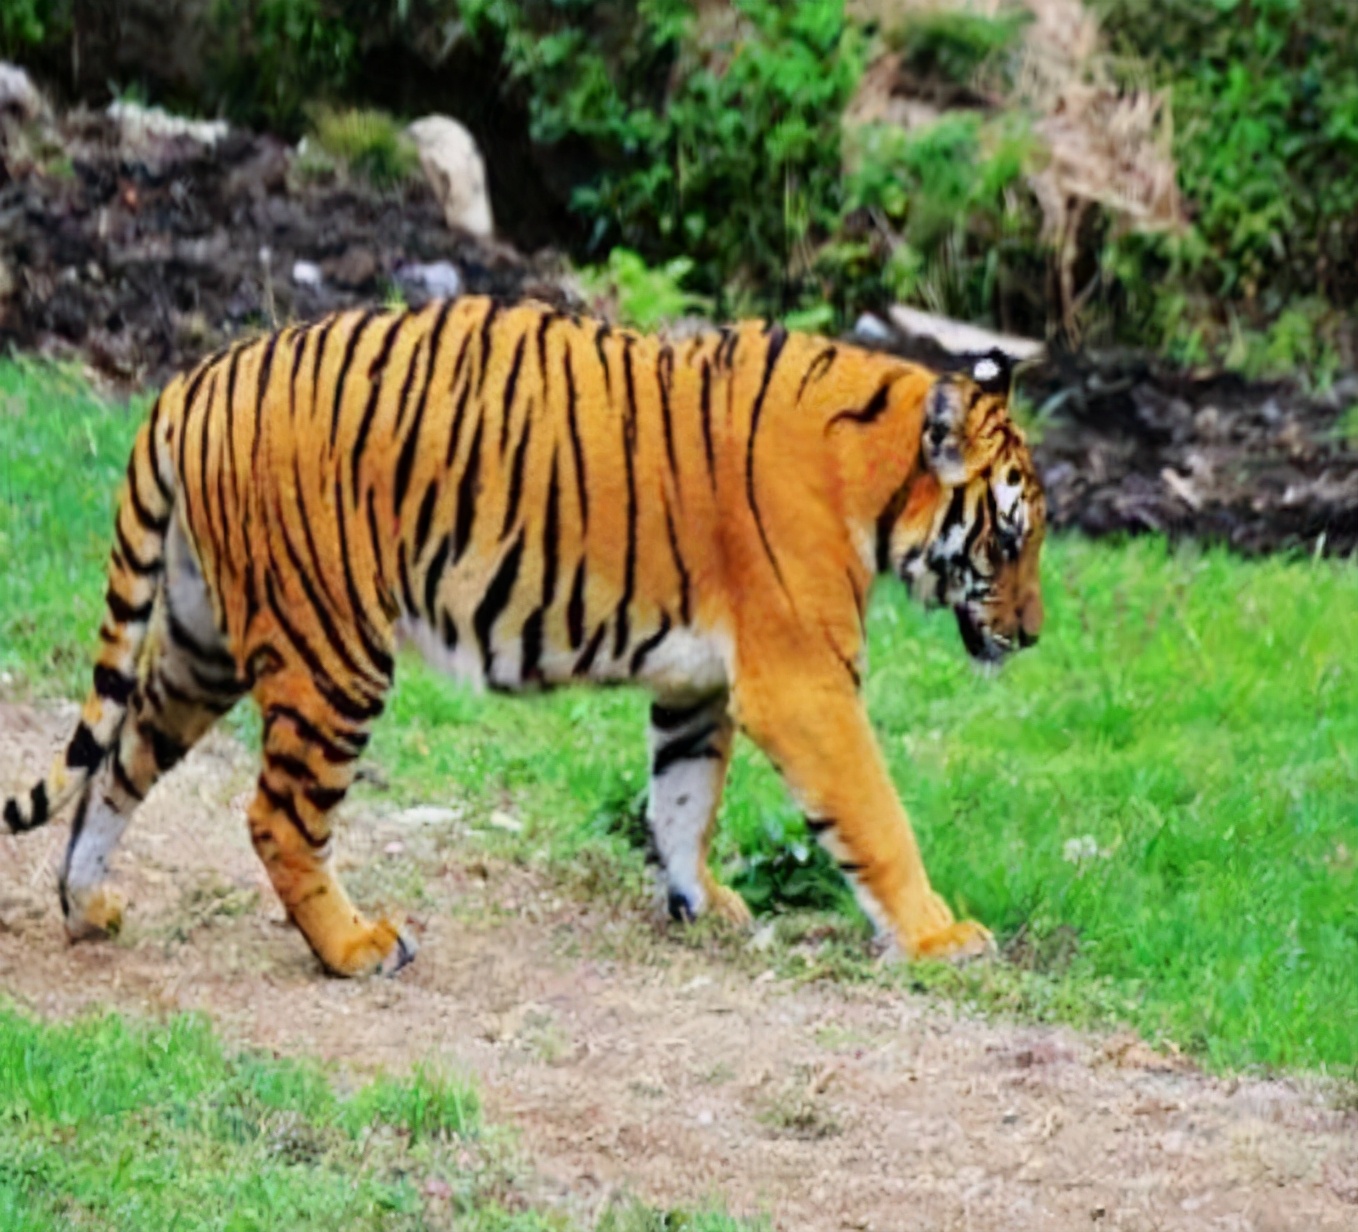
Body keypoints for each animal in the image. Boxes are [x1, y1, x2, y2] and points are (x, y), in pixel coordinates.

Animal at [3, 296, 1045, 977]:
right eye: (1010, 538)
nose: (1034, 635)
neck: (874, 477)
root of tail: (193, 379)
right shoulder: (804, 682)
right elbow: (874, 815)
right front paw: (939, 937)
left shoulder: (698, 683)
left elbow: (683, 799)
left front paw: (698, 903)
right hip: (332, 653)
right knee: (276, 817)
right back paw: (356, 948)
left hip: (202, 641)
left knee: (119, 762)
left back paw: (87, 907)